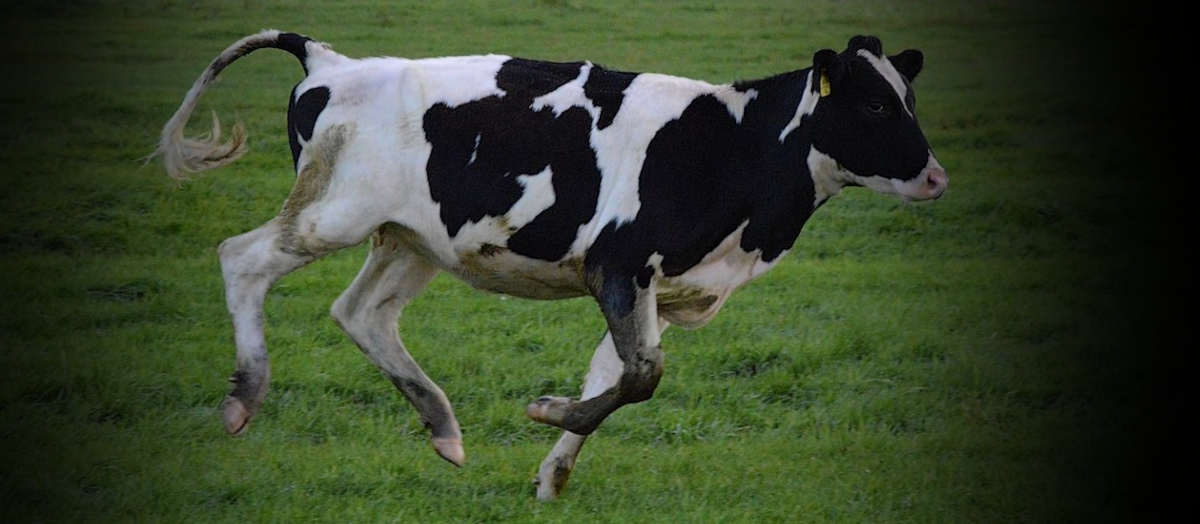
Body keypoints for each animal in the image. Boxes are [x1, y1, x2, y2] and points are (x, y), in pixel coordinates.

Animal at [148, 29, 946, 500]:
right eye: (876, 106)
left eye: (909, 98)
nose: (936, 177)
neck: (733, 145)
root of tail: (331, 62)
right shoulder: (618, 264)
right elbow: (643, 377)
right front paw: (545, 410)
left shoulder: (655, 287)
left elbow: (617, 375)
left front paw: (553, 472)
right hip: (331, 213)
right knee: (242, 259)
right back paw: (244, 395)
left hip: (410, 238)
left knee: (361, 313)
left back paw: (442, 426)